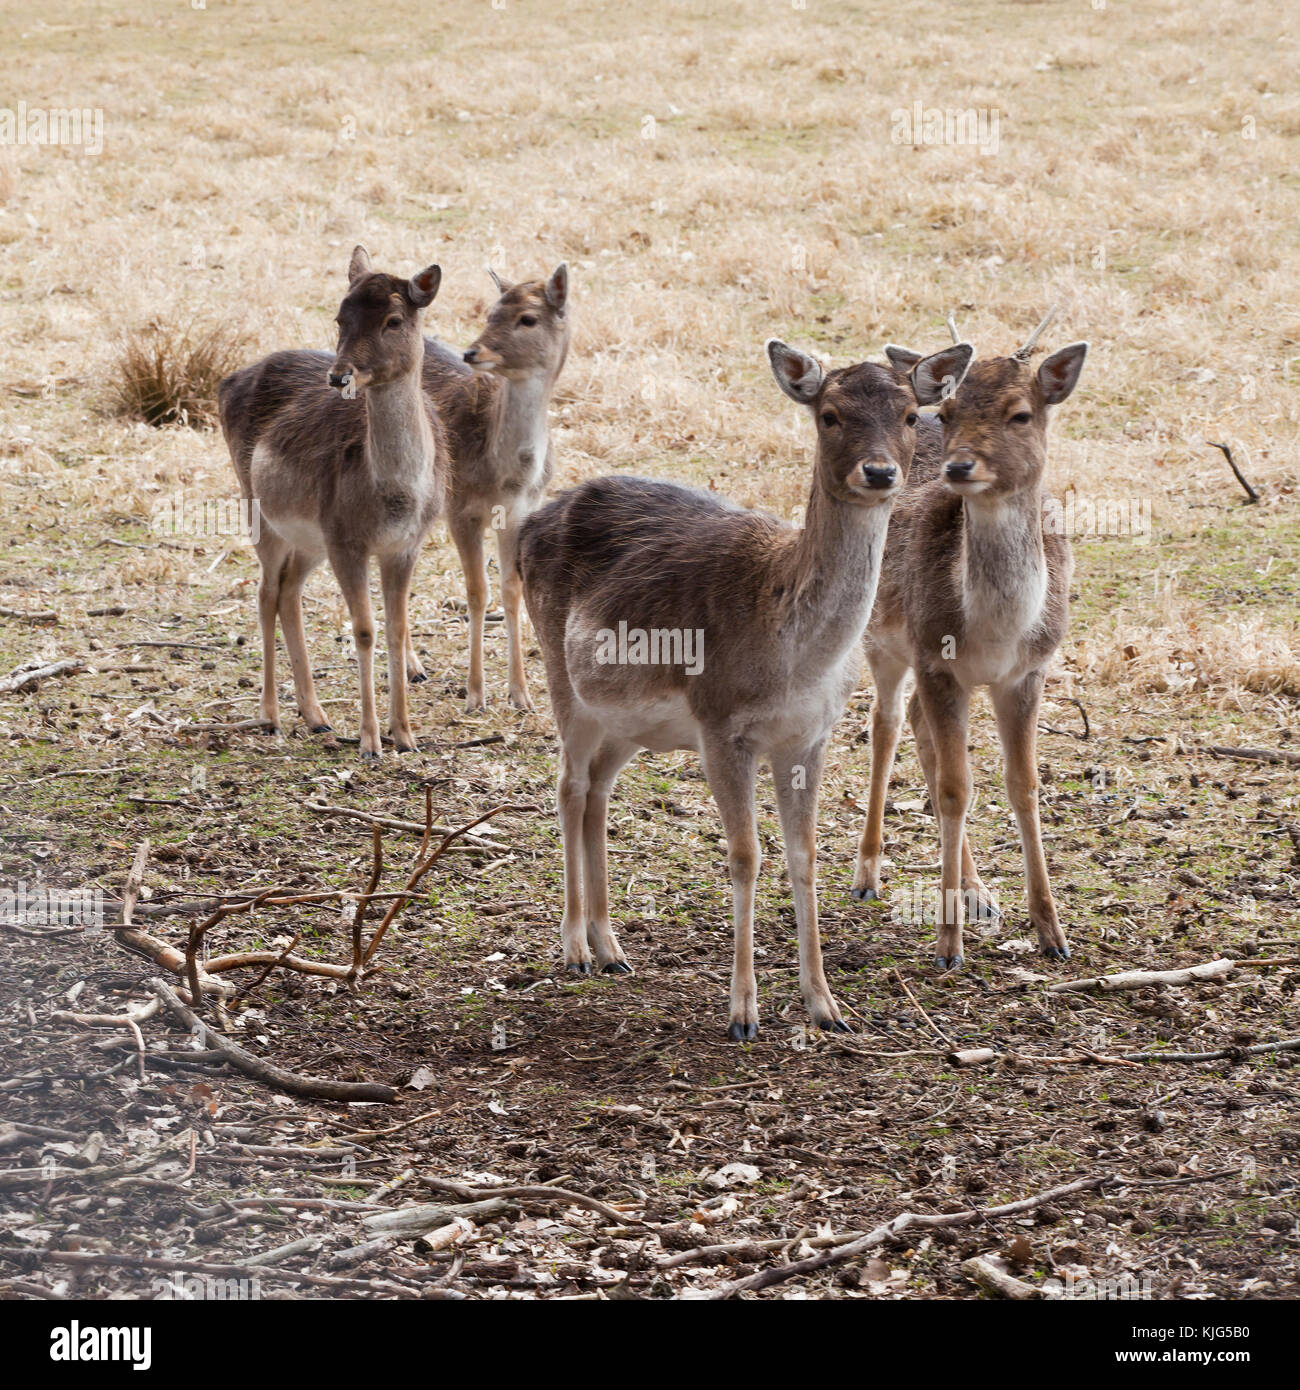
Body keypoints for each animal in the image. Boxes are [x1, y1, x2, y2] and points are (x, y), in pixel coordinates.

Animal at [219, 246, 448, 759]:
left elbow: (397, 627)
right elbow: (363, 630)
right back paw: (271, 716)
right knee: (265, 592)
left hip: (310, 539)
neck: (396, 495)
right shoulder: (347, 540)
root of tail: (227, 380)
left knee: (289, 591)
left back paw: (317, 717)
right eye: (340, 317)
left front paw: (406, 735)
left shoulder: (406, 545)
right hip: (260, 512)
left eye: (393, 320)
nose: (339, 375)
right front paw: (370, 741)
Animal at [422, 264, 570, 712]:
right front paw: (474, 694)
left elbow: (511, 590)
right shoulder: (459, 509)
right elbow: (476, 591)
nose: (472, 353)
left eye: (528, 318)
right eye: (490, 312)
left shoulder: (522, 512)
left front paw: (521, 694)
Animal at [518, 337, 974, 1039]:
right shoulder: (720, 726)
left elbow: (803, 854)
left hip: (626, 723)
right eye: (829, 415)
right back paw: (574, 949)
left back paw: (611, 945)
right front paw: (742, 1014)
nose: (878, 473)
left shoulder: (809, 736)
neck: (793, 657)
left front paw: (827, 1007)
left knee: (597, 792)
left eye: (906, 414)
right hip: (562, 676)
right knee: (568, 786)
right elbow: (744, 855)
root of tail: (524, 528)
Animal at [849, 309, 1087, 970]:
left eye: (1021, 413)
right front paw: (947, 944)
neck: (996, 631)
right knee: (886, 724)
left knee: (919, 730)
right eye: (953, 410)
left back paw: (979, 891)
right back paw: (868, 873)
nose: (958, 467)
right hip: (882, 639)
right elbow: (957, 789)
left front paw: (1053, 933)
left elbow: (1023, 786)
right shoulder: (936, 660)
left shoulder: (1029, 672)